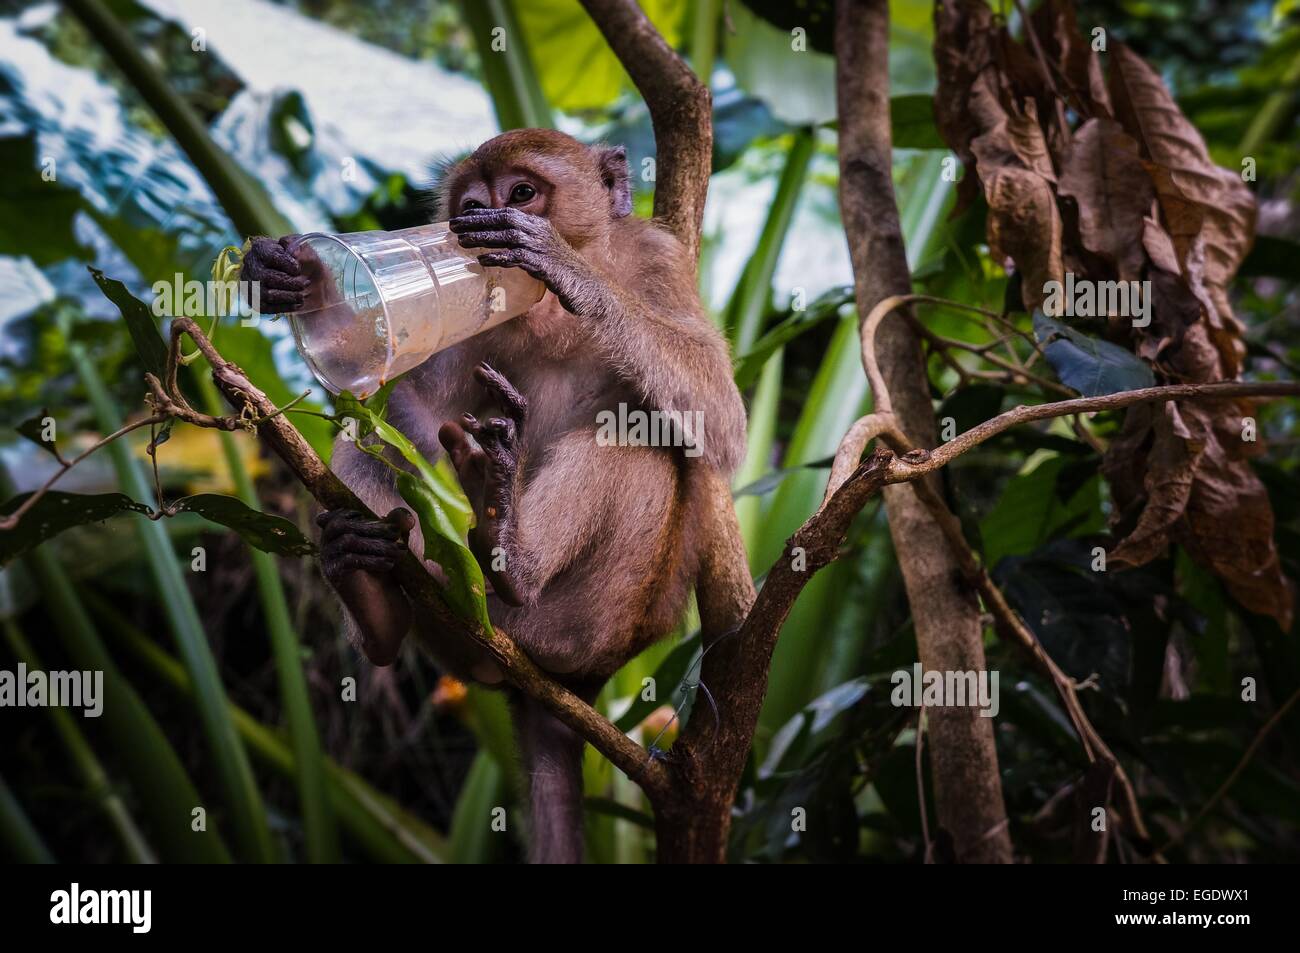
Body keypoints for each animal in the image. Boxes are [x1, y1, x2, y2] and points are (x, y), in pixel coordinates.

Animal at [241, 129, 747, 863]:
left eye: (522, 193)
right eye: (472, 203)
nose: (482, 223)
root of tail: (575, 686)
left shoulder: (659, 261)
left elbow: (721, 420)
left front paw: (562, 265)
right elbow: (408, 406)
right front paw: (292, 276)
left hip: (588, 622)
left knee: (637, 429)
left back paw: (514, 552)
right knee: (377, 437)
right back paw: (375, 594)